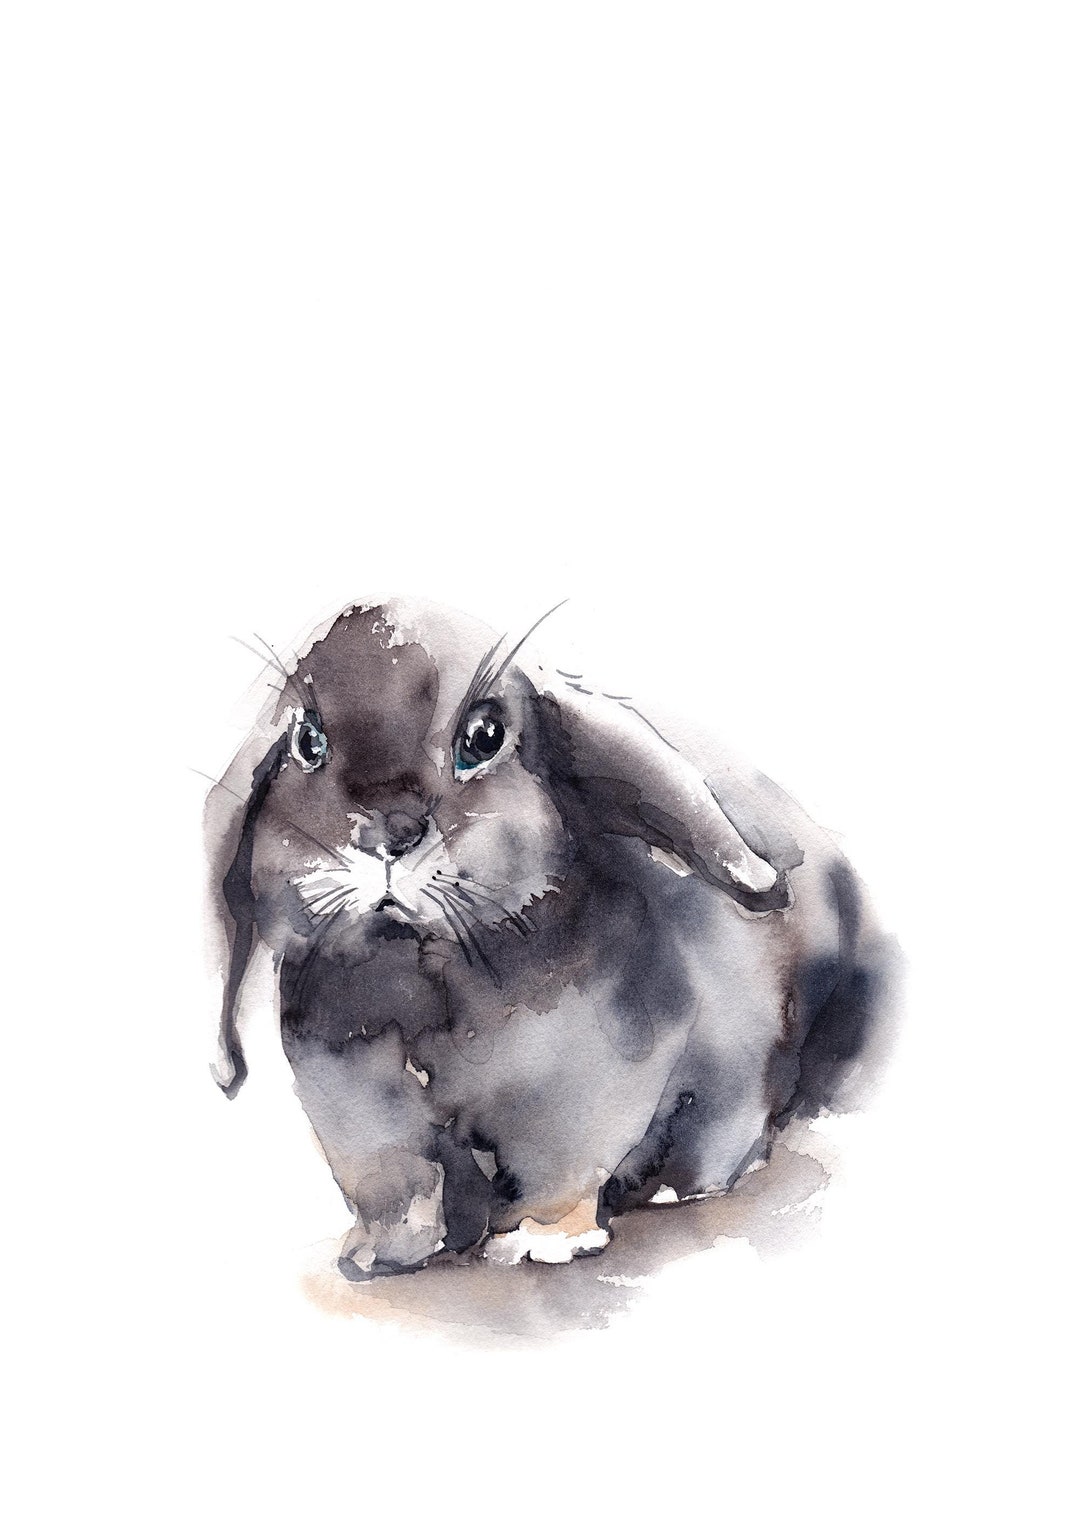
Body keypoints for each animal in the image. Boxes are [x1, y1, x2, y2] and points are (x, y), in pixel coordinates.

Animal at [205, 596, 895, 1279]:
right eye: (307, 740)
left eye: (484, 737)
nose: (387, 833)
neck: (424, 977)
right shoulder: (362, 1114)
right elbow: (397, 1183)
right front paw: (379, 1256)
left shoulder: (576, 1102)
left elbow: (555, 1172)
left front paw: (541, 1242)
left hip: (744, 1063)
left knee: (730, 1125)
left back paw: (677, 1186)